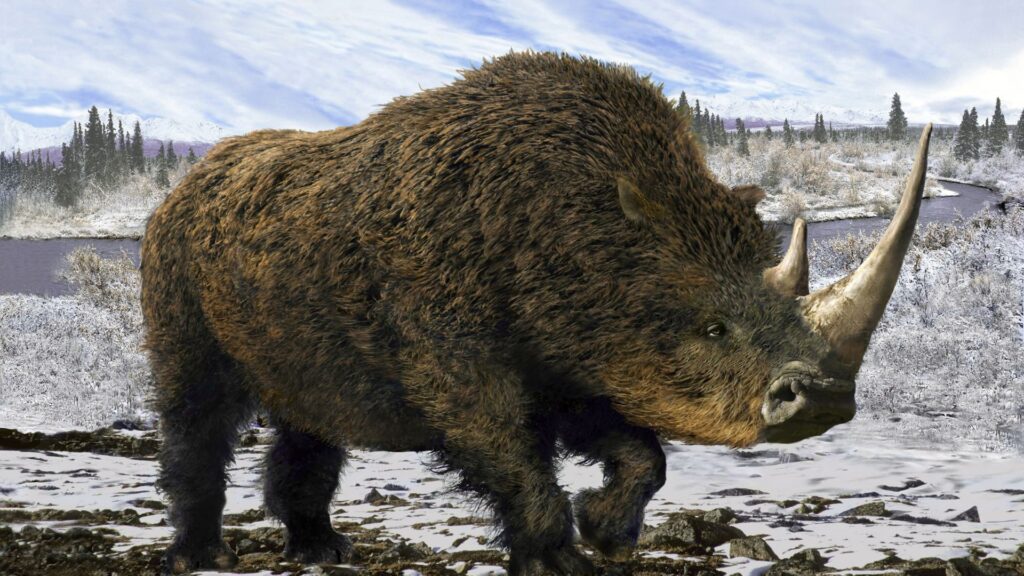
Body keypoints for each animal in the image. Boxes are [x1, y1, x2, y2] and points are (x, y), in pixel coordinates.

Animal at [141, 52, 932, 575]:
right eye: (713, 327)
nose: (822, 399)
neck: (592, 236)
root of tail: (183, 184)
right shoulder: (457, 360)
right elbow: (513, 457)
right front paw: (562, 561)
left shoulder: (581, 357)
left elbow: (641, 454)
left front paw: (607, 533)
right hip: (173, 270)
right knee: (198, 408)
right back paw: (199, 556)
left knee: (310, 410)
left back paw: (325, 551)